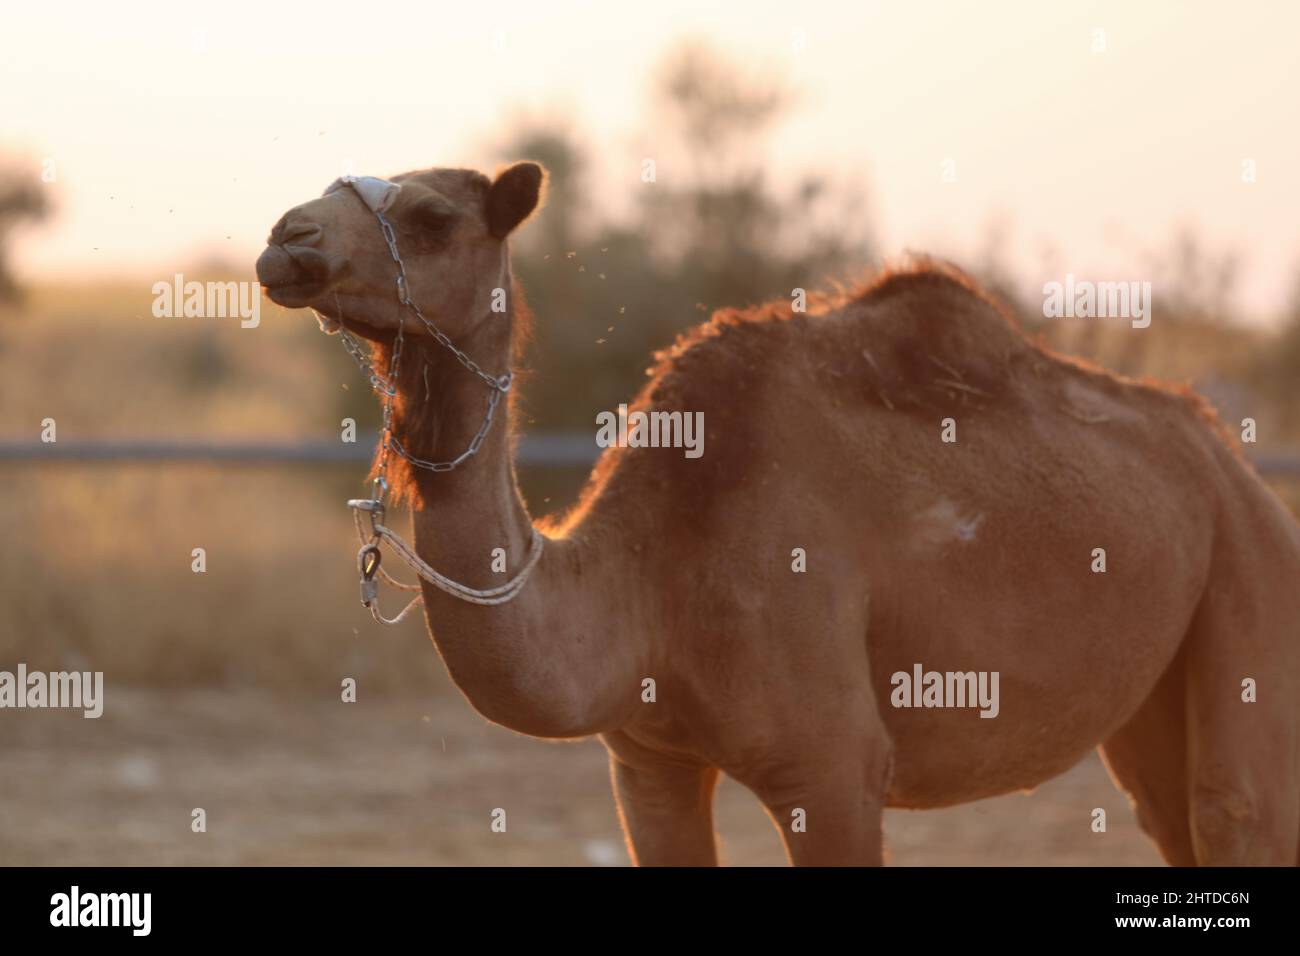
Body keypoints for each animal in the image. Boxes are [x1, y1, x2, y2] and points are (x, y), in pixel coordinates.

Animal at [256, 162, 1300, 866]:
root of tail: (1227, 452)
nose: (287, 238)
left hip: (1250, 569)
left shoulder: (832, 770)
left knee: (1235, 807)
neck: (647, 580)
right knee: (1172, 811)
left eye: (432, 216)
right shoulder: (646, 762)